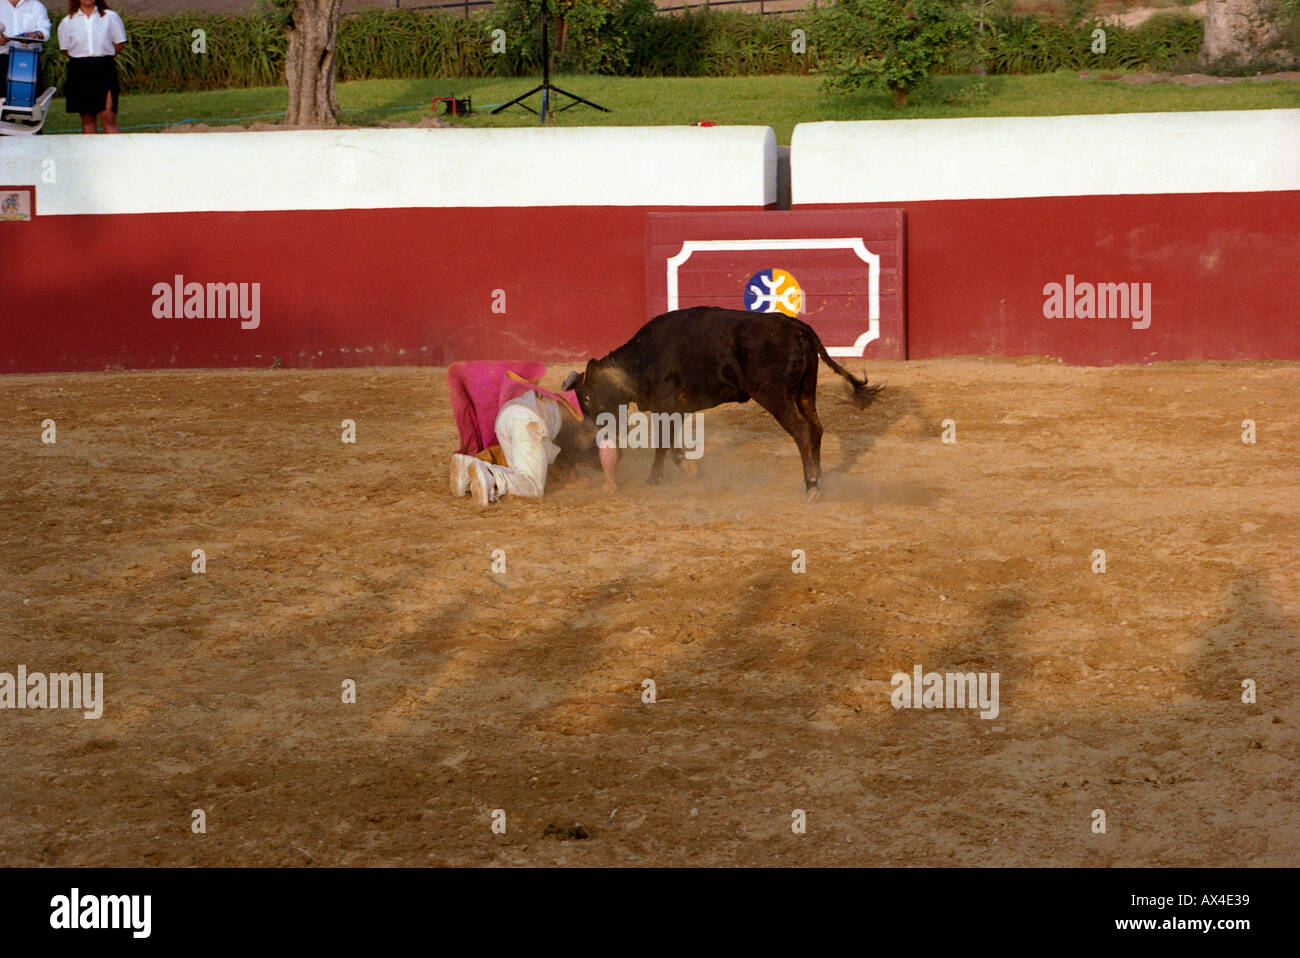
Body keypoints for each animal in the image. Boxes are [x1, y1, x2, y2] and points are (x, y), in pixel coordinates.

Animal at [564, 306, 882, 498]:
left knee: (803, 432)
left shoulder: (664, 405)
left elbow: (662, 444)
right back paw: (820, 481)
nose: (602, 432)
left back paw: (811, 486)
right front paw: (690, 469)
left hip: (775, 397)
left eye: (587, 396)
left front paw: (653, 480)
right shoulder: (675, 409)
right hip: (805, 393)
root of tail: (797, 327)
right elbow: (673, 444)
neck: (641, 358)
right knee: (816, 429)